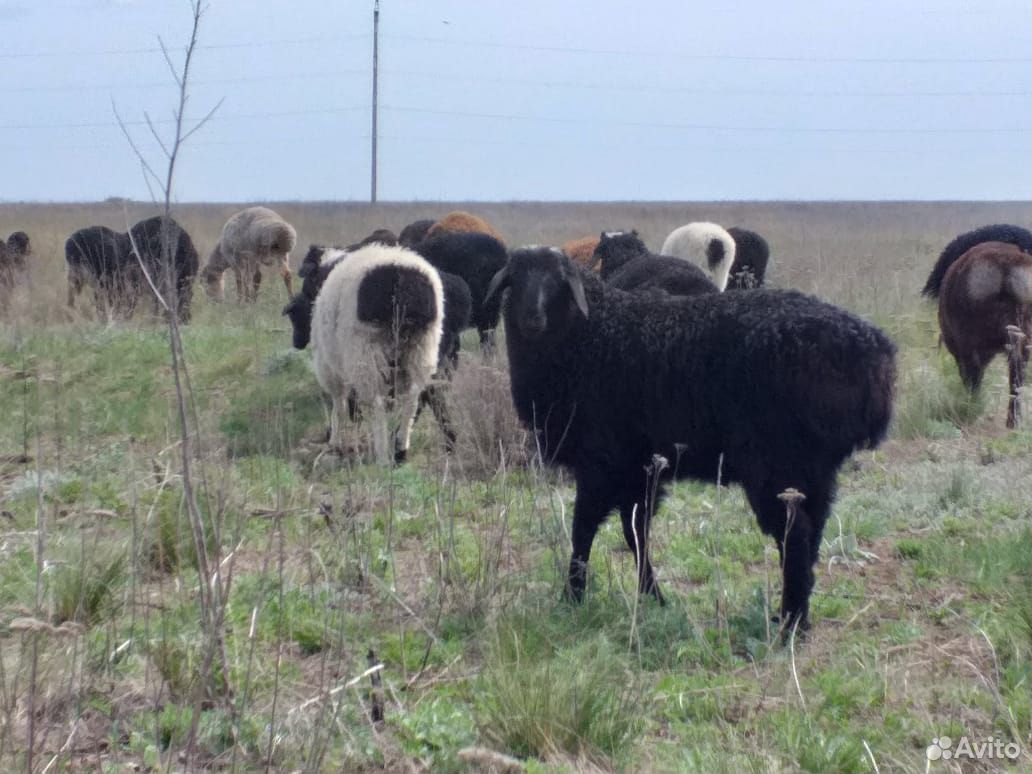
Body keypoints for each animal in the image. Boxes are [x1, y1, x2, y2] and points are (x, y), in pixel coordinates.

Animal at [485, 247, 896, 632]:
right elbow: (636, 533)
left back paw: (789, 625)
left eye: (558, 281)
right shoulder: (639, 470)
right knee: (812, 534)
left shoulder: (601, 463)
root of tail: (876, 355)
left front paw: (573, 597)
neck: (592, 334)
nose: (532, 319)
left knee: (794, 537)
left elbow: (583, 532)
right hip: (814, 469)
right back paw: (796, 617)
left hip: (778, 463)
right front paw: (653, 597)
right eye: (515, 279)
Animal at [934, 241, 1032, 428]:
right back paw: (1013, 422)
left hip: (971, 344)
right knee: (1016, 382)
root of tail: (1005, 266)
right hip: (1021, 340)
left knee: (974, 379)